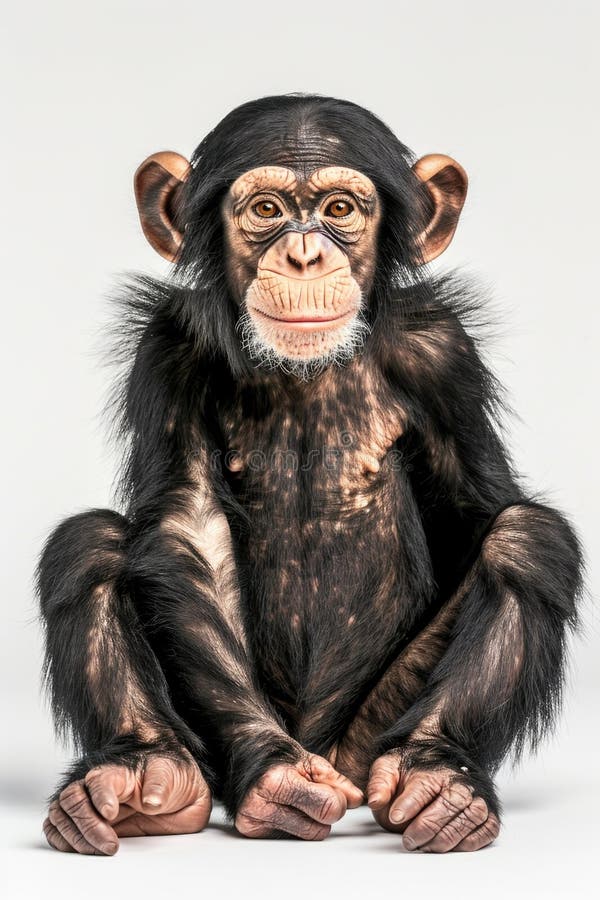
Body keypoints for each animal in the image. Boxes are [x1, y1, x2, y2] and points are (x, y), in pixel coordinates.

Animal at [38, 94, 582, 855]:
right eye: (266, 209)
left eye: (339, 209)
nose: (303, 253)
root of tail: (321, 745)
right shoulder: (169, 349)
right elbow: (187, 522)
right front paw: (273, 780)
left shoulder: (443, 352)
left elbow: (483, 513)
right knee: (87, 544)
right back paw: (146, 774)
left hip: (364, 743)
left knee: (527, 541)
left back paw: (436, 777)